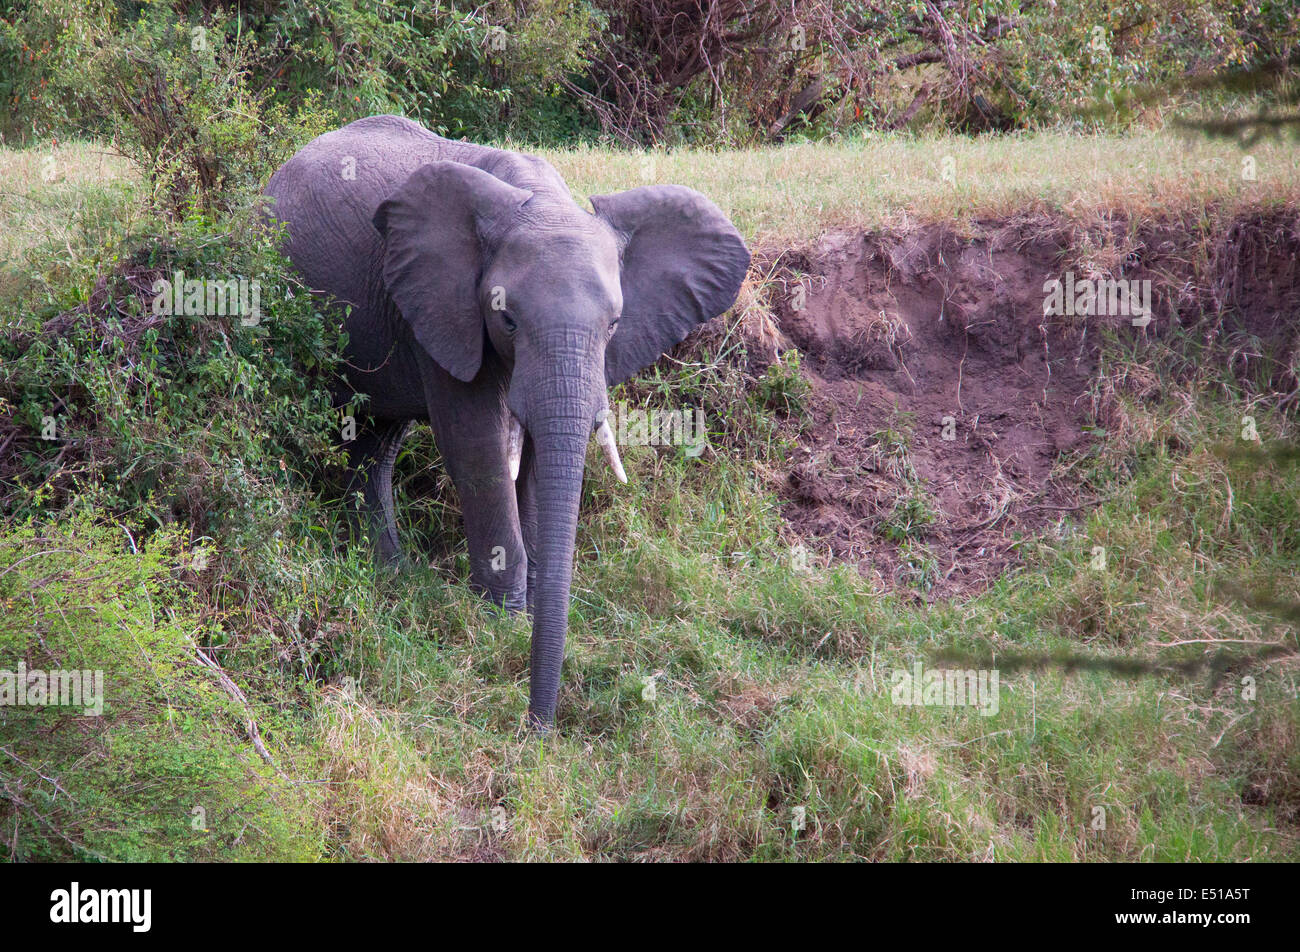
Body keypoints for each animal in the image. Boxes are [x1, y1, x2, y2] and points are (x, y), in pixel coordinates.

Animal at [263, 115, 750, 729]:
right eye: (508, 319)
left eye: (615, 324)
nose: (540, 727)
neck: (538, 197)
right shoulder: (441, 302)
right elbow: (478, 446)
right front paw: (501, 619)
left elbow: (539, 457)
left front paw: (530, 605)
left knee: (374, 441)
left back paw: (391, 574)